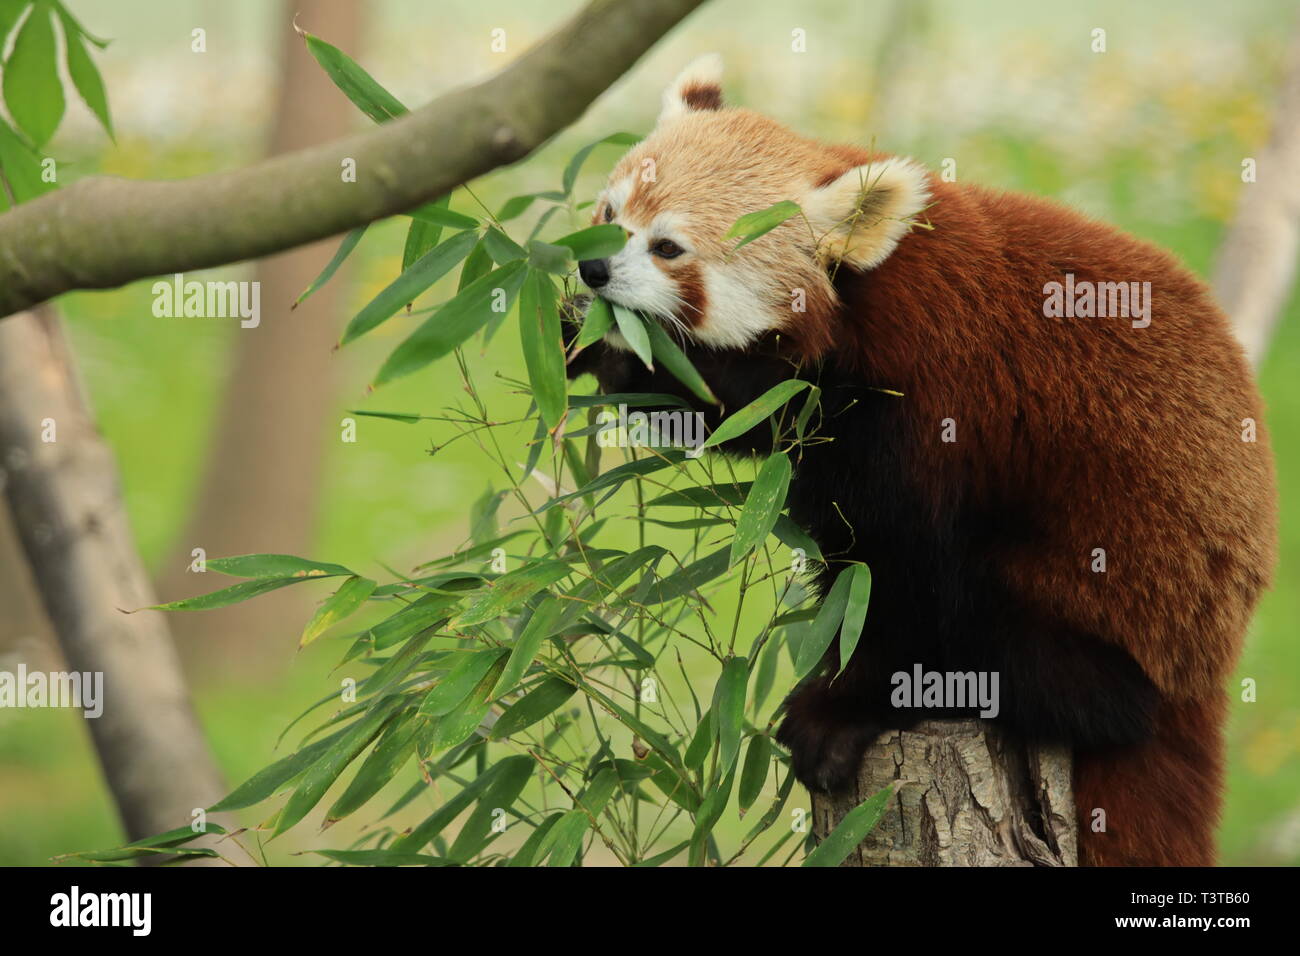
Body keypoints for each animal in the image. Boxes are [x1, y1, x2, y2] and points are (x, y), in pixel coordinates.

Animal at [564, 55, 1277, 866]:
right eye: (610, 210)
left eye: (668, 248)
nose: (593, 268)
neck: (862, 293)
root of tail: (1210, 660)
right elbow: (749, 420)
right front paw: (602, 350)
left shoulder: (930, 391)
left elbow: (902, 572)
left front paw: (843, 706)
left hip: (1110, 589)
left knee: (1024, 644)